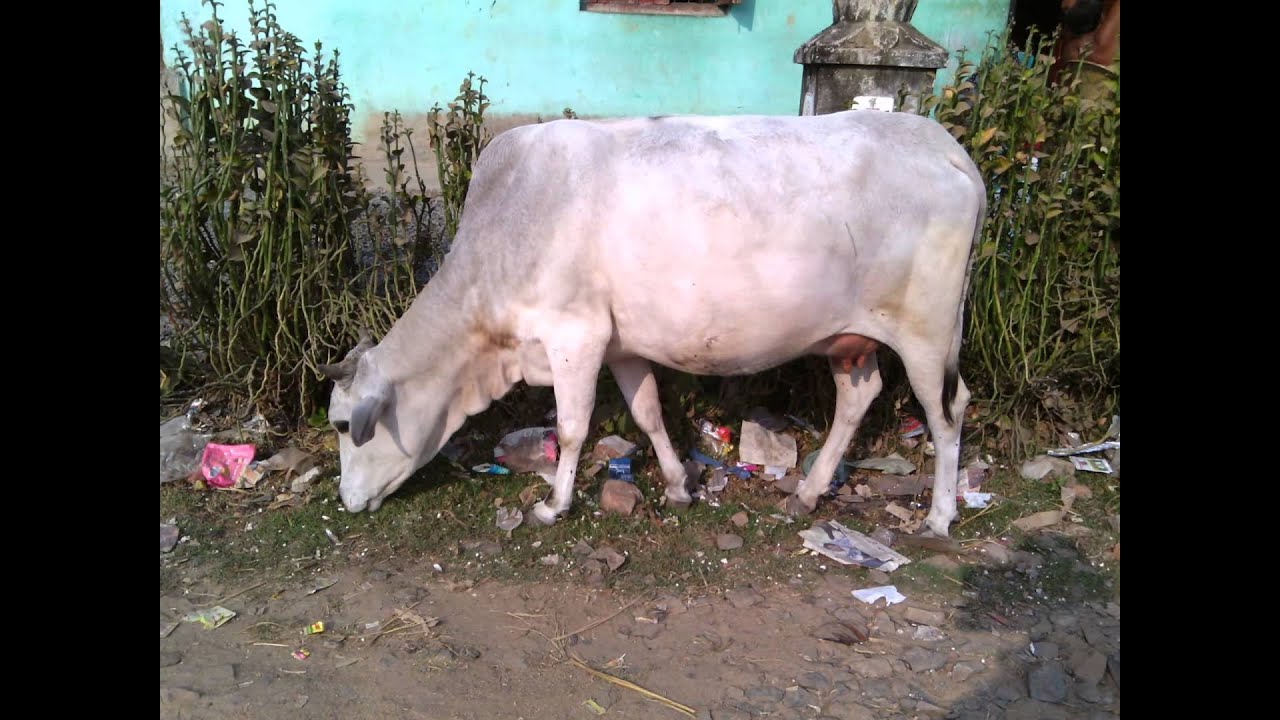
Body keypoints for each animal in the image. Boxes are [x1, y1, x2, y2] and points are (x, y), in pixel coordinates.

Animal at [318, 108, 986, 538]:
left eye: (344, 425)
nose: (345, 501)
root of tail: (942, 144)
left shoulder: (574, 333)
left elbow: (571, 427)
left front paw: (554, 505)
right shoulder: (620, 343)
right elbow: (646, 413)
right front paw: (676, 485)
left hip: (928, 331)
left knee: (947, 411)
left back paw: (939, 516)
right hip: (854, 336)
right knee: (859, 396)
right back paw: (806, 492)